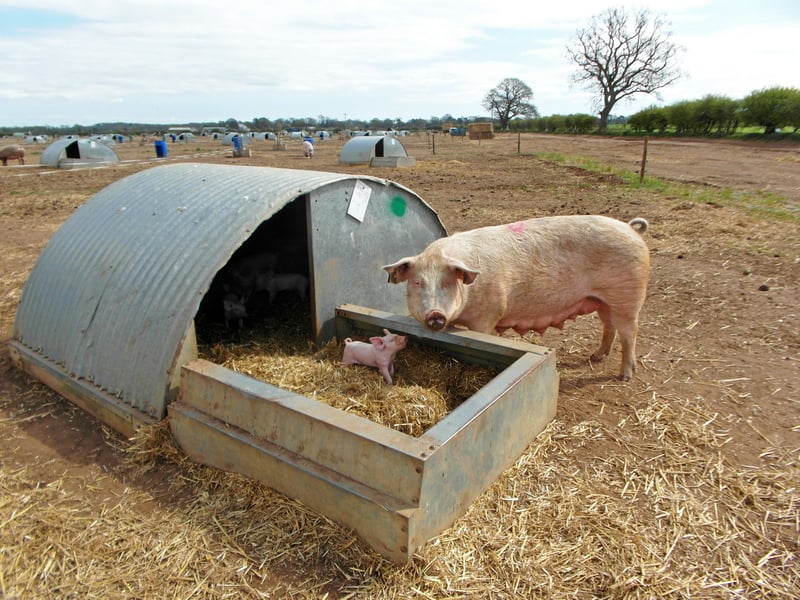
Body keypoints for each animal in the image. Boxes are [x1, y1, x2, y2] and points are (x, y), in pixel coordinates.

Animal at [382, 215, 650, 380]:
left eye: (447, 283)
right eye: (418, 282)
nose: (436, 315)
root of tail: (630, 228)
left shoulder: (487, 315)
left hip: (628, 296)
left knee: (629, 333)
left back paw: (625, 376)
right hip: (604, 300)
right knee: (609, 325)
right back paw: (596, 356)